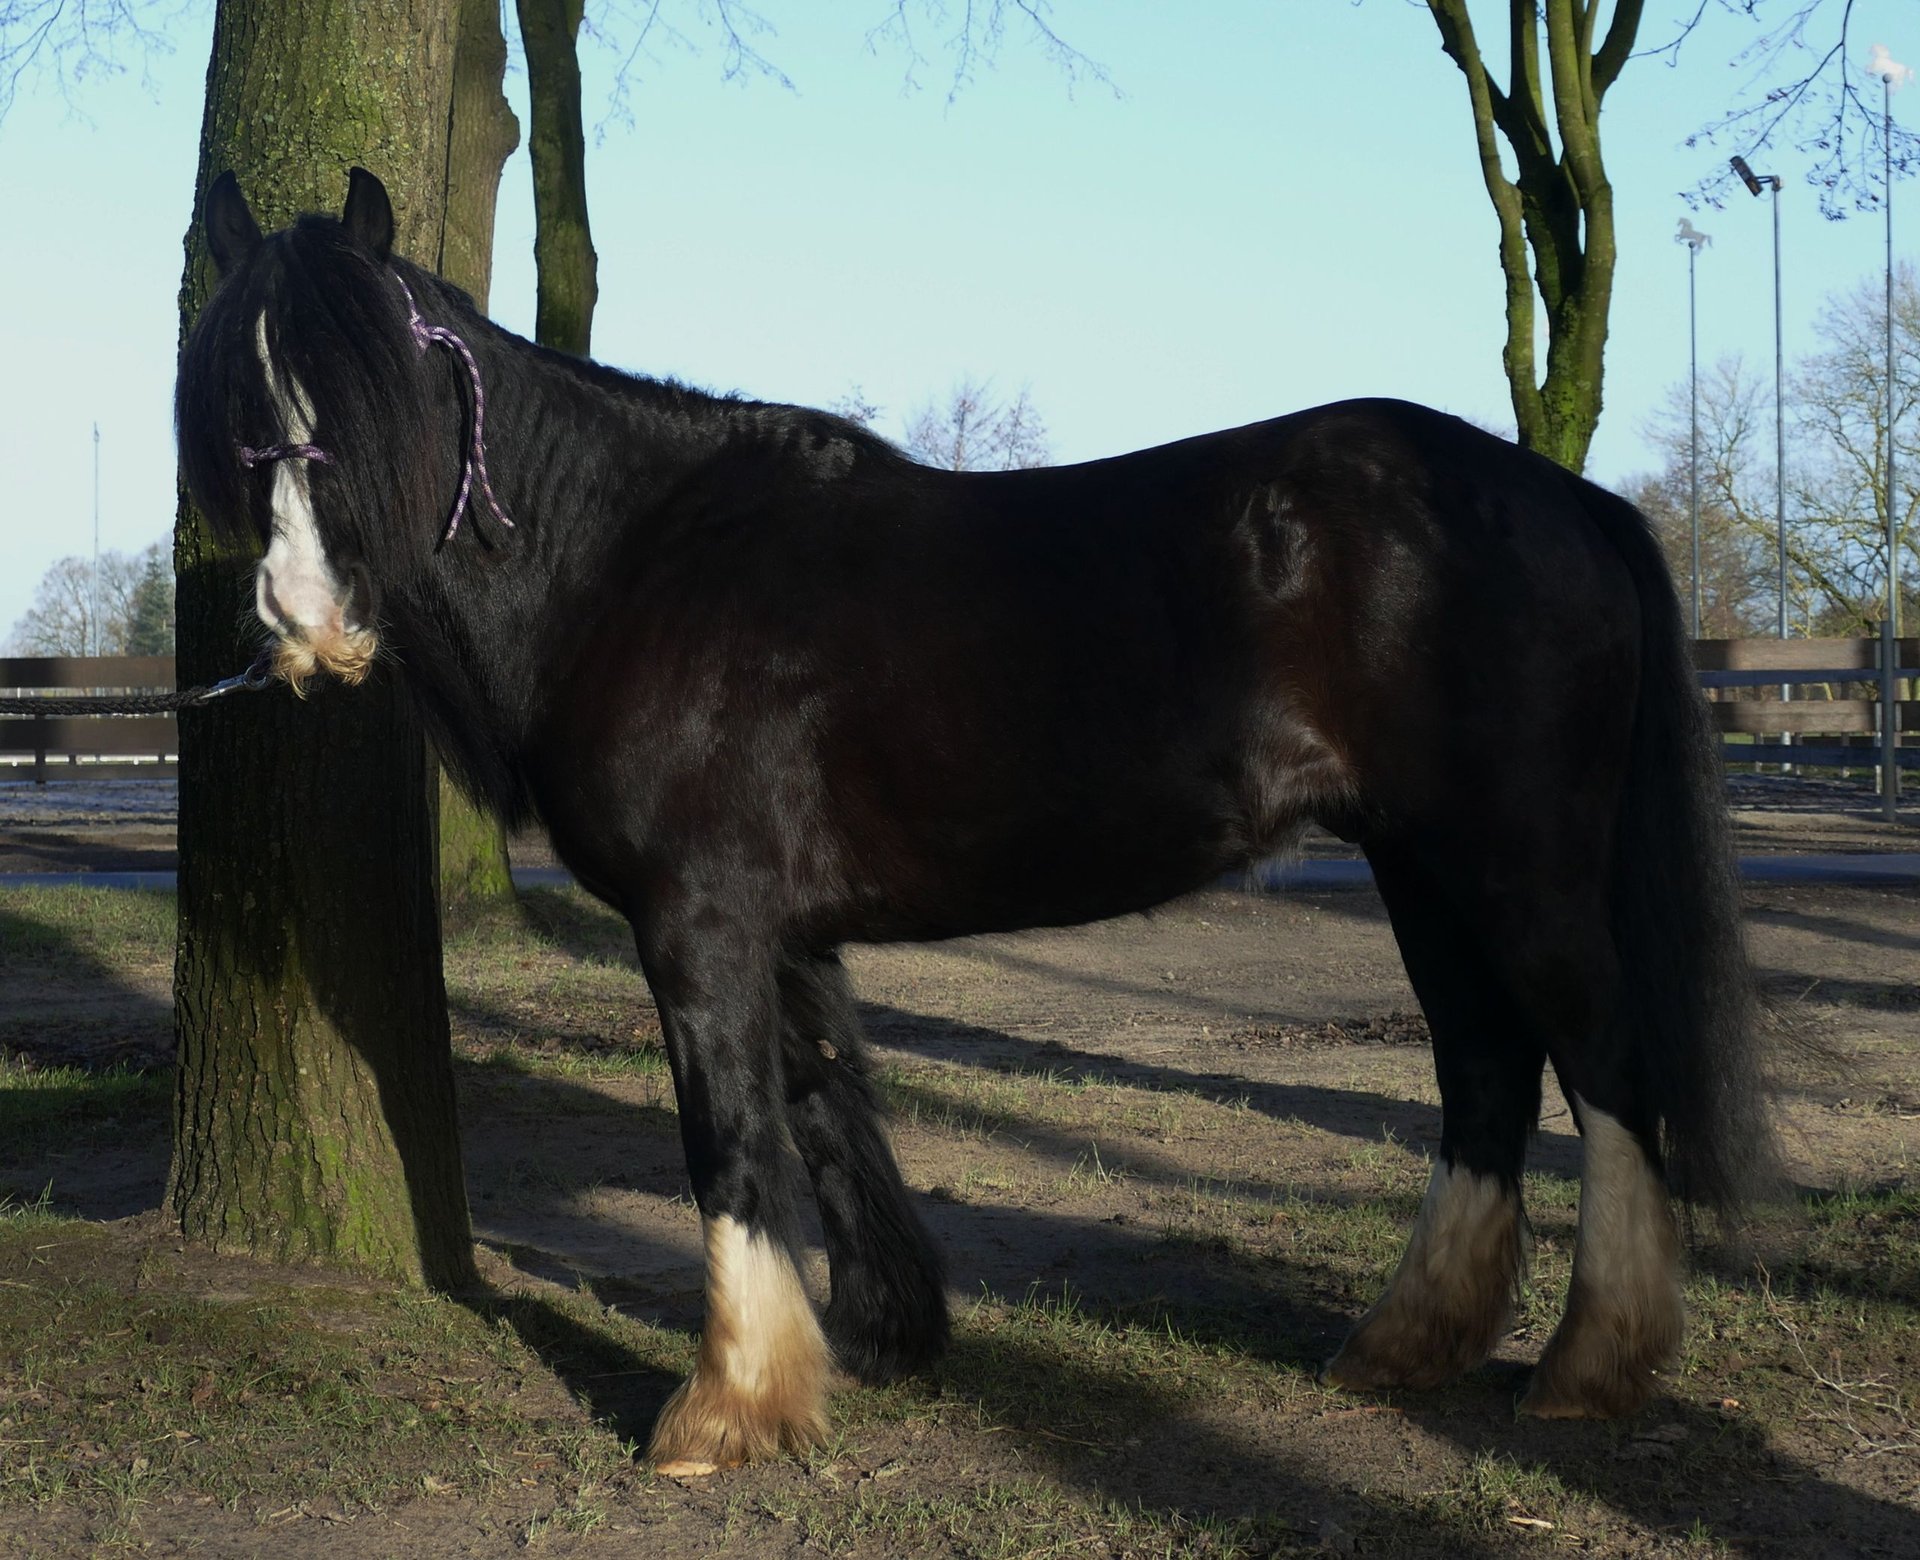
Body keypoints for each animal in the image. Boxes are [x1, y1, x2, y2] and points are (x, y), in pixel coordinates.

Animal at [176, 168, 1774, 1472]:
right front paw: (877, 1344)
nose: (303, 622)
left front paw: (722, 1414)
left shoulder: (700, 924)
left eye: (371, 399)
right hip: (1419, 866)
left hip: (1519, 868)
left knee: (1603, 1064)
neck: (636, 563)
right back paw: (1406, 1347)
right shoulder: (781, 932)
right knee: (1486, 1072)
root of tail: (1566, 498)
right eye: (239, 416)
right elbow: (826, 1114)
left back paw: (1589, 1369)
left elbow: (732, 1142)